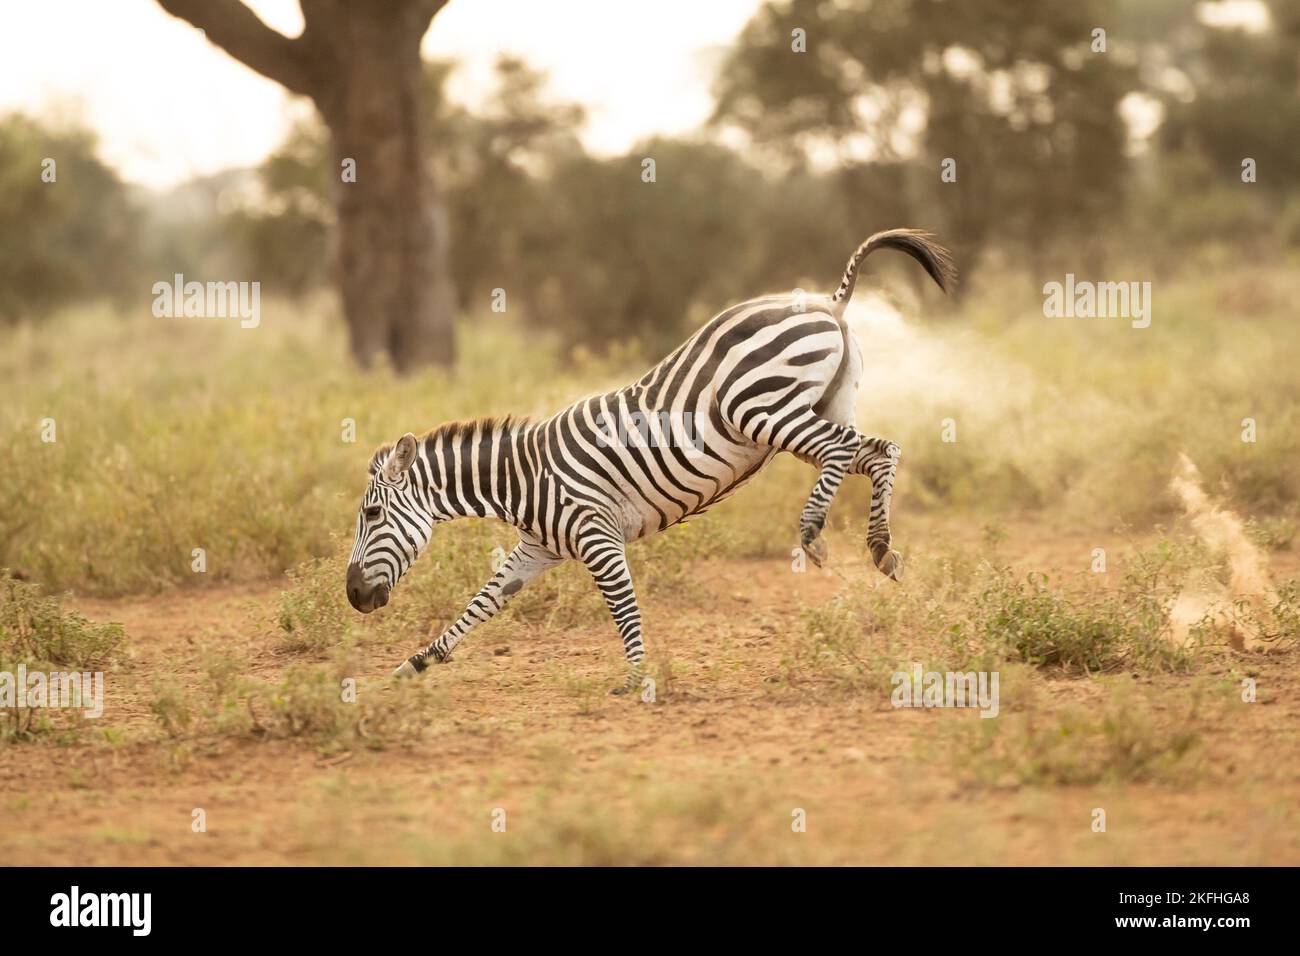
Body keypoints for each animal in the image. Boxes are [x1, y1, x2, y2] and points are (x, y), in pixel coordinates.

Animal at [347, 229, 955, 693]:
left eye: (372, 515)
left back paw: (813, 533)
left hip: (761, 407)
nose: (353, 596)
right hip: (826, 402)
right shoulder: (539, 549)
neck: (523, 479)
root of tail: (829, 302)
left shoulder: (597, 537)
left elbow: (623, 607)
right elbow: (480, 604)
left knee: (844, 450)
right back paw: (881, 549)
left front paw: (637, 679)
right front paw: (414, 665)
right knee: (877, 451)